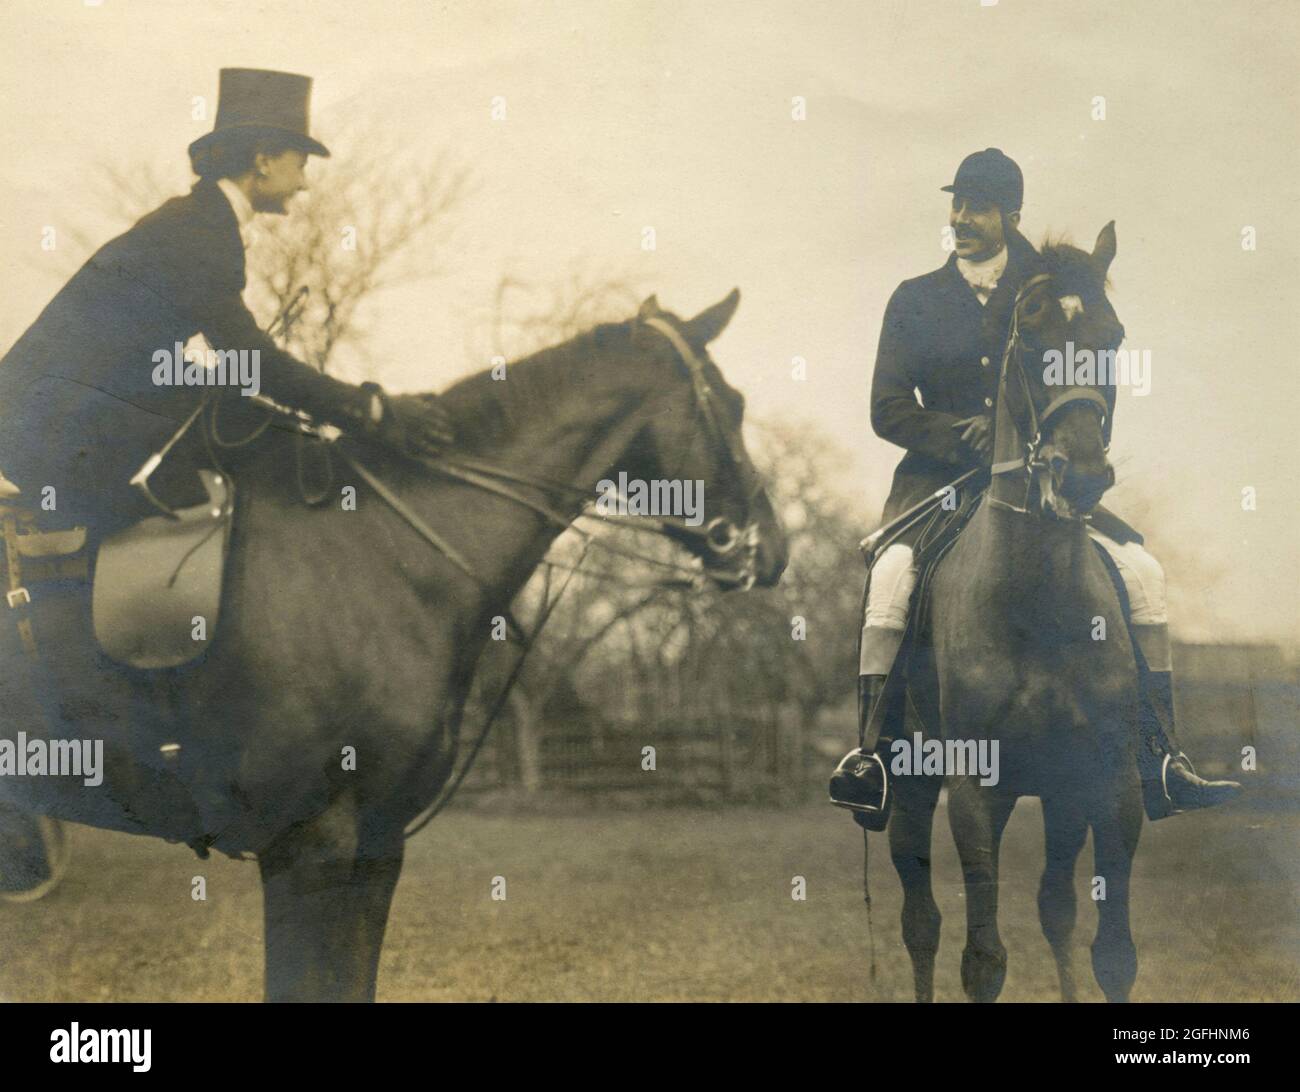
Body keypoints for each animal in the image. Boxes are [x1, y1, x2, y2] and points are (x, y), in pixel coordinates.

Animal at [887, 224, 1143, 1003]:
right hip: (910, 791)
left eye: (1113, 338)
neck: (1040, 605)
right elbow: (983, 959)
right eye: (1029, 339)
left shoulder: (1103, 781)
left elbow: (1111, 951)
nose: (1080, 475)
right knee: (921, 924)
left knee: (1055, 909)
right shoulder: (975, 791)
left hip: (1057, 800)